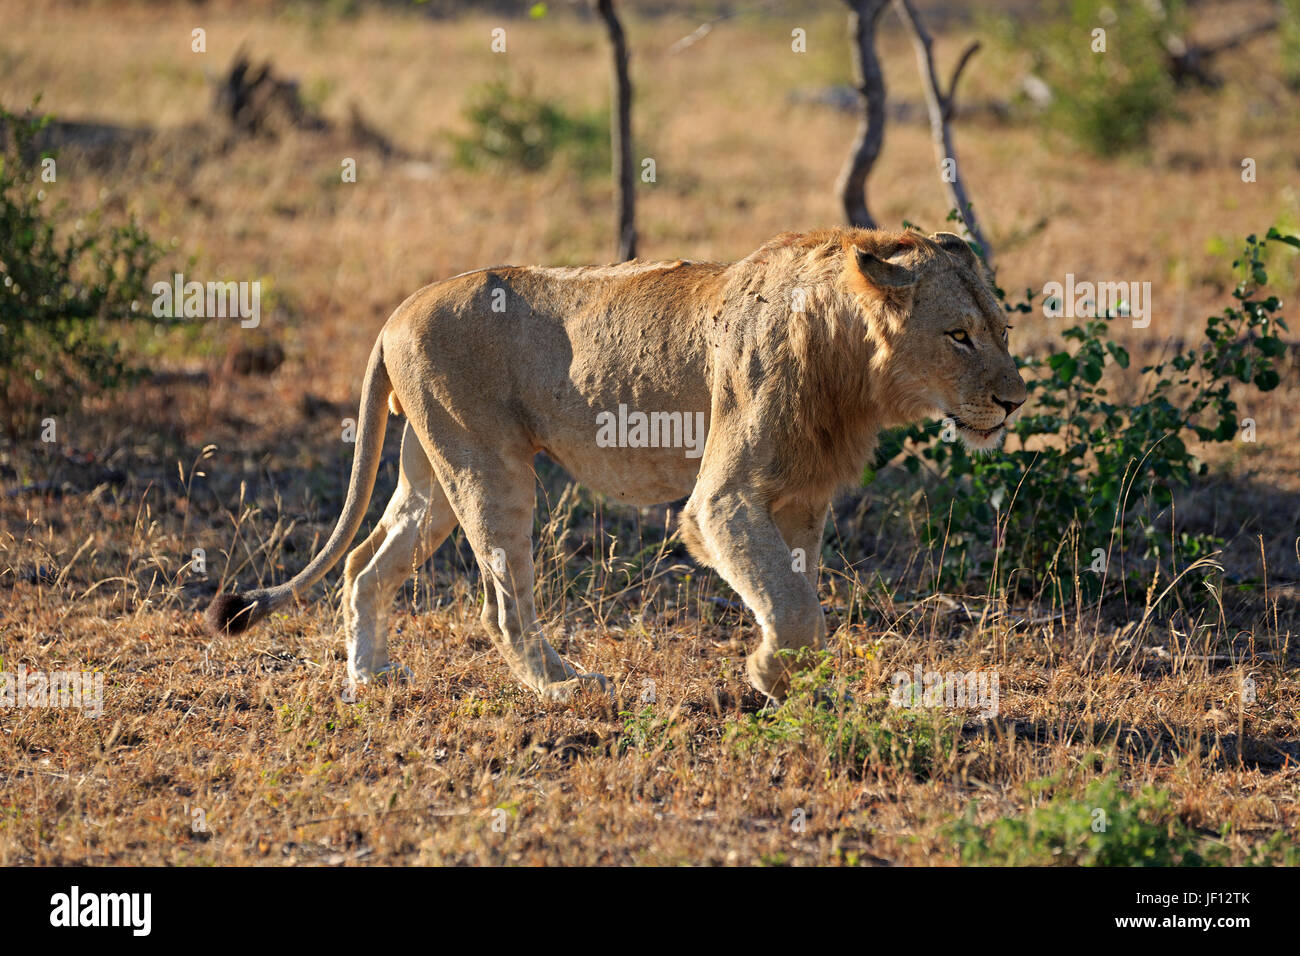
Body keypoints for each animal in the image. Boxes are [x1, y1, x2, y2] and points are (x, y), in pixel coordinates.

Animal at [206, 228, 1026, 702]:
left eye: (1002, 330)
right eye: (957, 335)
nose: (1015, 401)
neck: (850, 361)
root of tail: (398, 312)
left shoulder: (801, 498)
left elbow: (797, 595)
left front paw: (810, 690)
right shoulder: (725, 499)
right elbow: (790, 606)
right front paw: (770, 674)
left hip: (429, 470)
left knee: (365, 562)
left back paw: (371, 675)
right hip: (489, 468)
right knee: (501, 602)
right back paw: (564, 686)